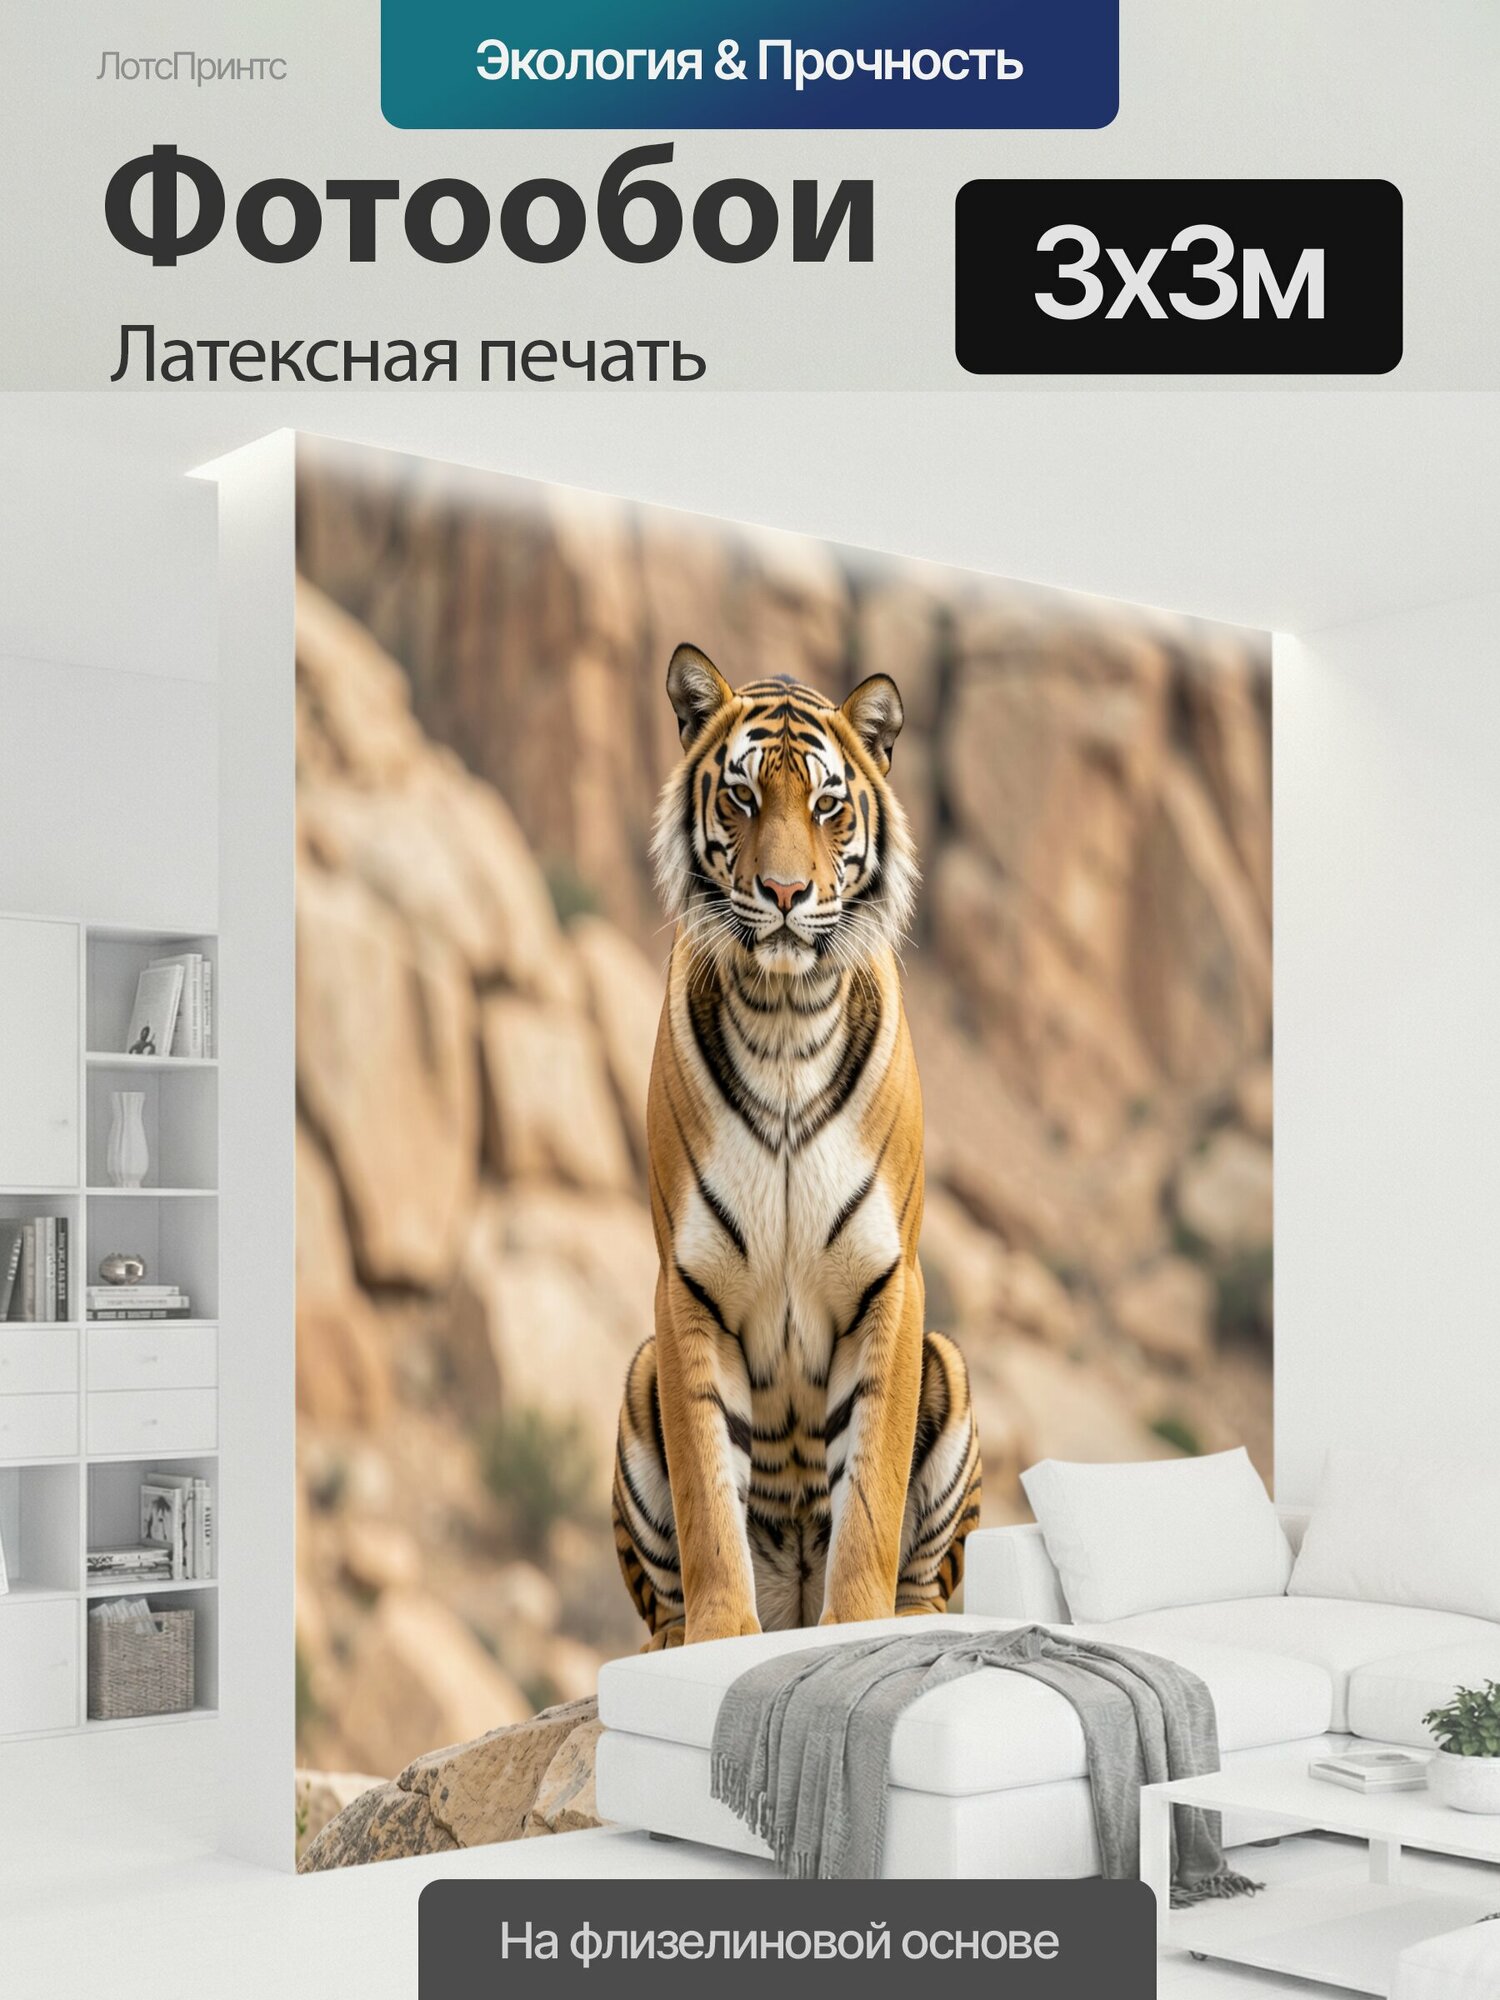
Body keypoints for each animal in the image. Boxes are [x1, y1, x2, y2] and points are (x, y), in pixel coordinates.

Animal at [612, 642, 982, 1649]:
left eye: (825, 804)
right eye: (742, 798)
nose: (782, 894)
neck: (783, 1019)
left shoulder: (892, 1282)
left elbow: (871, 1497)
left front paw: (854, 1623)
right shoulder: (685, 1287)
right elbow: (708, 1491)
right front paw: (718, 1637)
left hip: (948, 1364)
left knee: (931, 1575)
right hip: (637, 1376)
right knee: (658, 1590)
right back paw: (673, 1640)